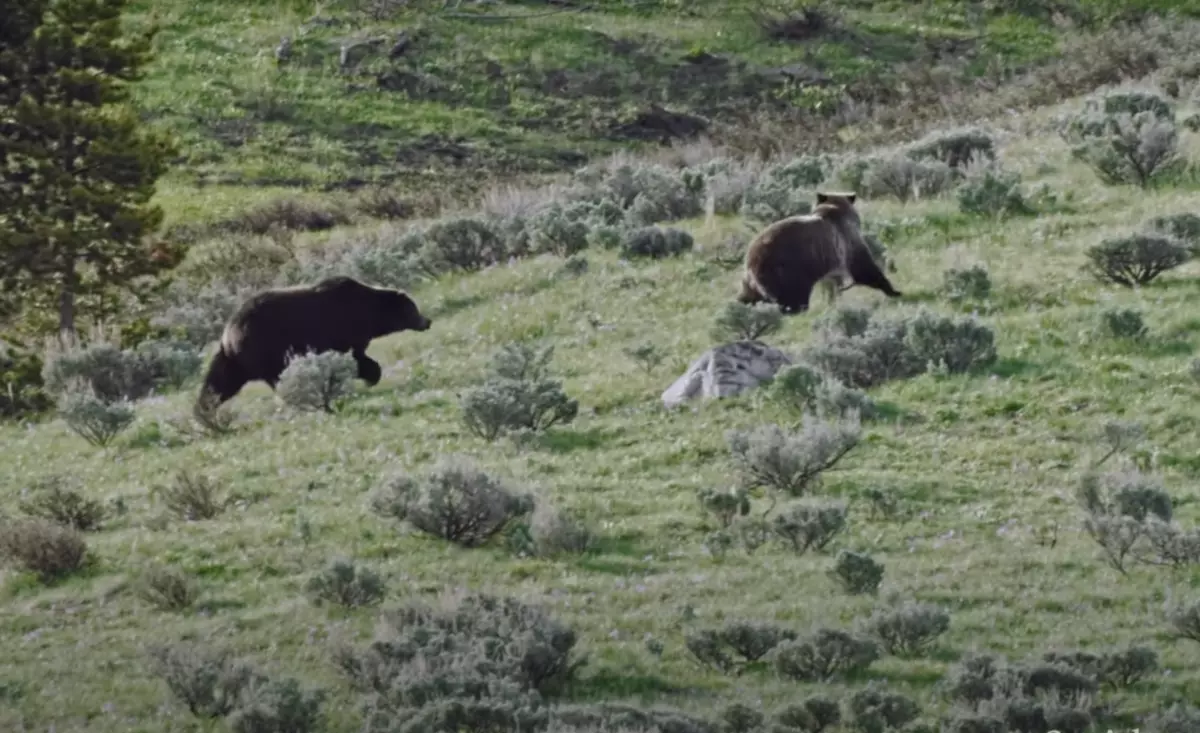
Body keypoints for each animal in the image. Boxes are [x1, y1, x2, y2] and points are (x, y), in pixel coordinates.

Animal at [189, 275, 429, 412]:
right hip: (264, 347)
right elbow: (356, 357)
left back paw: (204, 407)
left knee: (222, 380)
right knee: (274, 376)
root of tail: (228, 332)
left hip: (237, 360)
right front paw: (371, 376)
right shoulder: (342, 329)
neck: (370, 314)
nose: (427, 321)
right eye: (414, 309)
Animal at [734, 190, 902, 314]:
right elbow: (864, 268)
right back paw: (796, 310)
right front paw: (894, 290)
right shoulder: (847, 242)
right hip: (788, 269)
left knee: (748, 295)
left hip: (751, 279)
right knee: (794, 294)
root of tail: (751, 259)